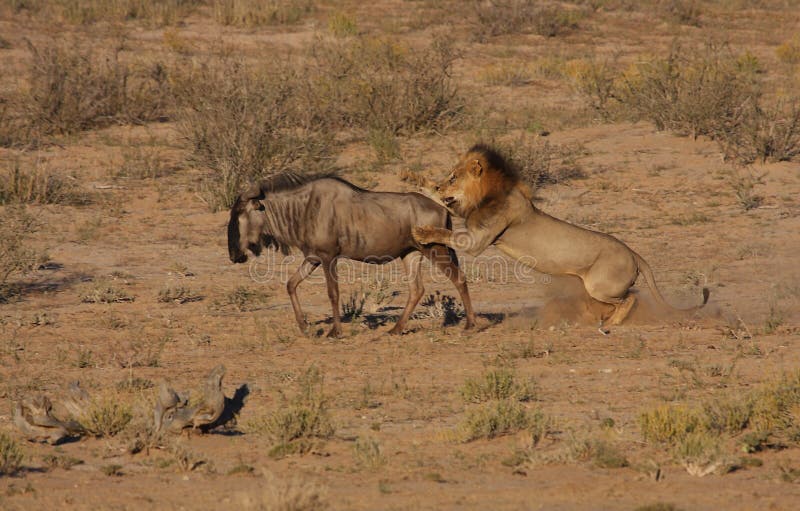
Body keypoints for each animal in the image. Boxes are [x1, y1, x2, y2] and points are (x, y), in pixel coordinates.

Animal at [412, 144, 709, 326]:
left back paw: (611, 324)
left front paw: (421, 231)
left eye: (453, 178)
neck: (487, 194)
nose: (442, 184)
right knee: (631, 295)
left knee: (631, 298)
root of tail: (634, 254)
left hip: (599, 286)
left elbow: (445, 231)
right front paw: (419, 181)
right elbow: (436, 201)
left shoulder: (478, 239)